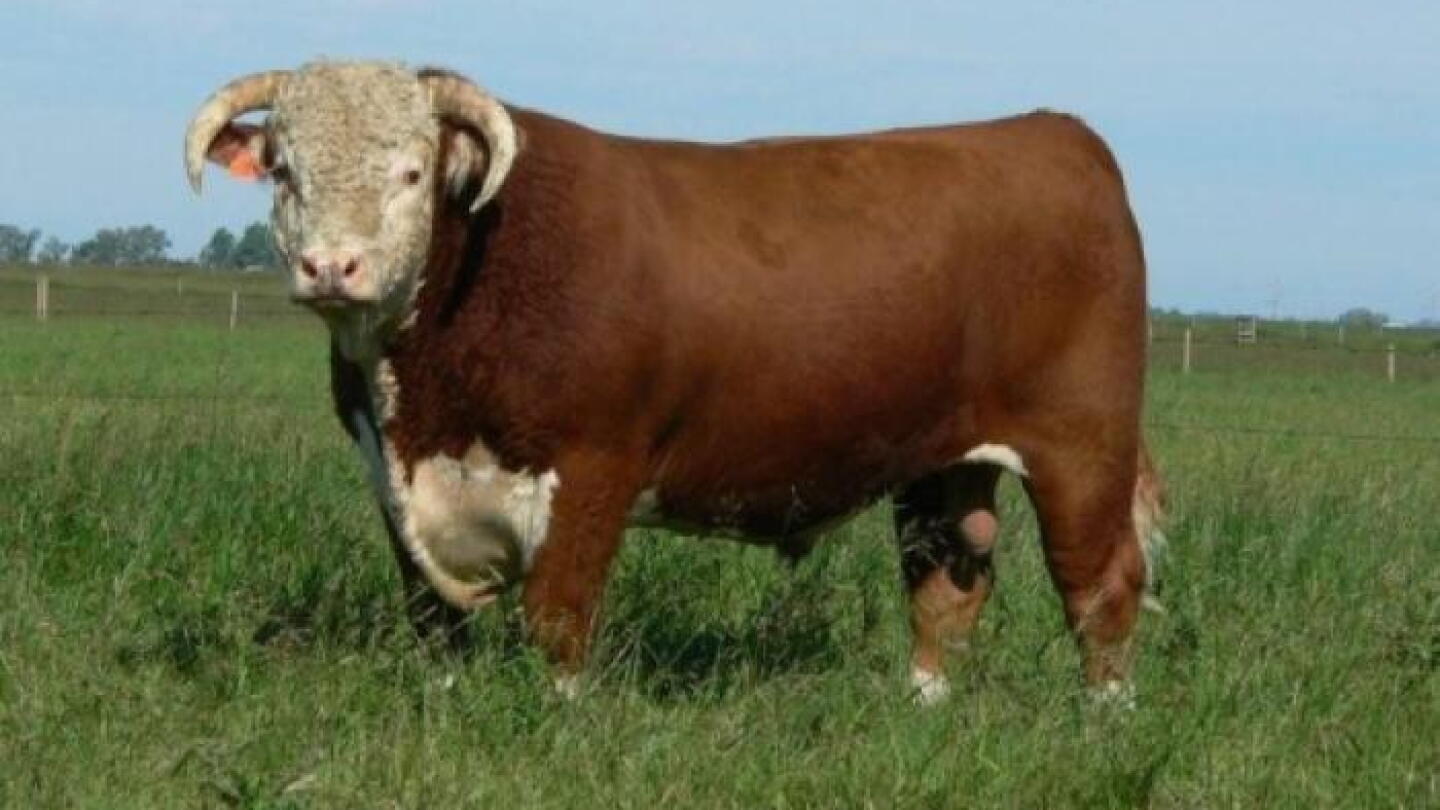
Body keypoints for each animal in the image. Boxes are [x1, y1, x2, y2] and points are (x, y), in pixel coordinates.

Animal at [184, 61, 1163, 704]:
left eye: (411, 171)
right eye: (284, 170)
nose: (330, 267)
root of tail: (1054, 130)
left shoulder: (591, 468)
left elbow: (559, 620)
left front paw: (557, 726)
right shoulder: (392, 480)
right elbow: (435, 621)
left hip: (1082, 444)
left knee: (1100, 588)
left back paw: (1104, 721)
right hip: (944, 464)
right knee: (947, 585)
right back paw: (920, 708)